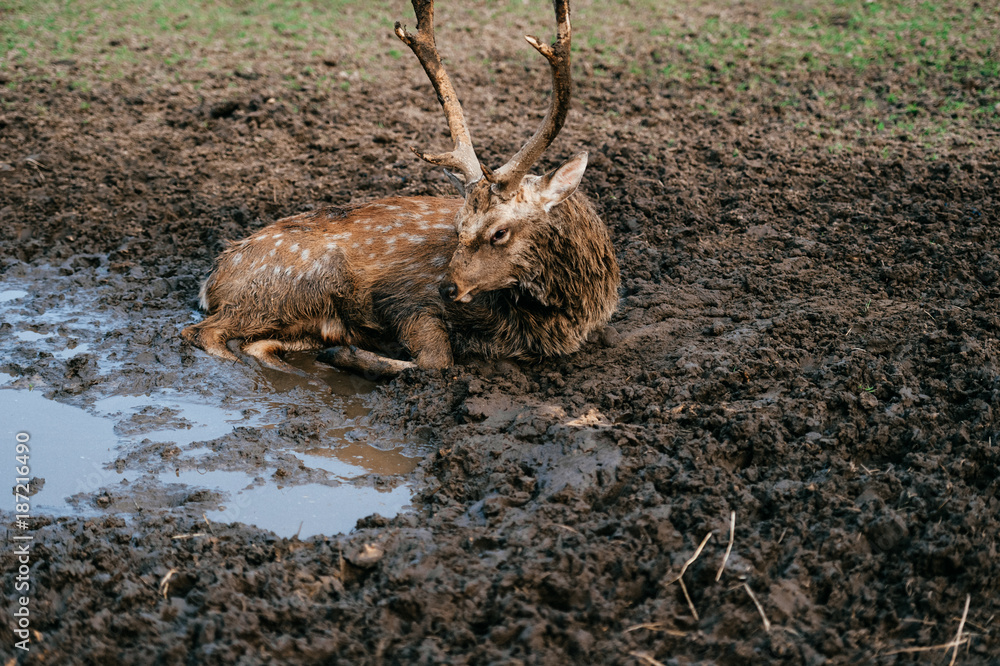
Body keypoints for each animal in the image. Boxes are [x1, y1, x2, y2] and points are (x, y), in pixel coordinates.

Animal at [181, 0, 620, 379]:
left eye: (499, 232)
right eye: (458, 225)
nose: (448, 286)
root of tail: (211, 280)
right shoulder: (406, 298)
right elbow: (436, 362)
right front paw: (351, 355)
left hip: (299, 315)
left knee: (256, 345)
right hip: (295, 283)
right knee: (202, 333)